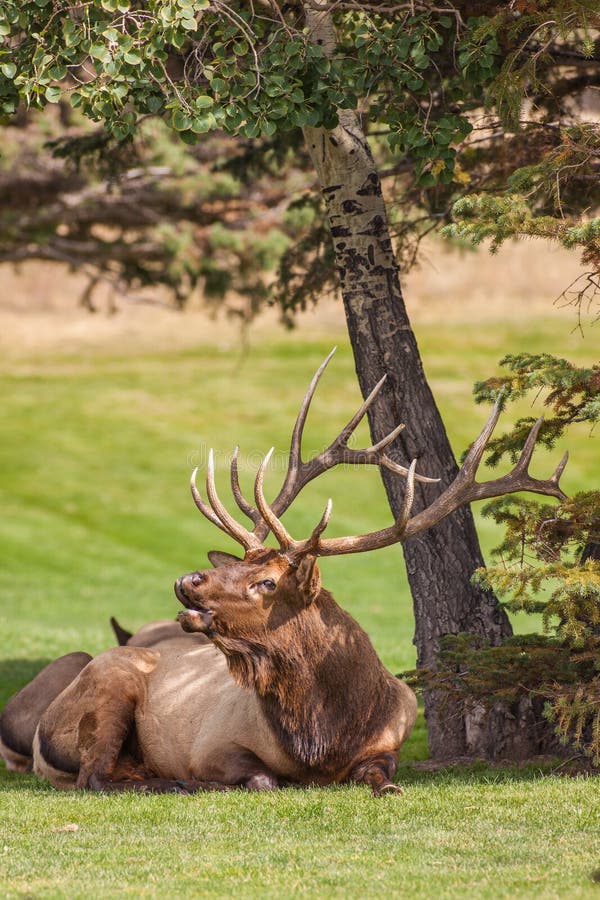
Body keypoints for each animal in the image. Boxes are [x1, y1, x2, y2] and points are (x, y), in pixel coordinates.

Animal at [0, 350, 568, 795]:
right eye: (241, 564)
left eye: (266, 581)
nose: (188, 580)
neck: (322, 738)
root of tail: (39, 740)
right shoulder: (214, 745)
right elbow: (261, 778)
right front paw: (208, 780)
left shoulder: (390, 744)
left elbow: (383, 777)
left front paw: (388, 788)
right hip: (105, 691)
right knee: (95, 776)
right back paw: (169, 782)